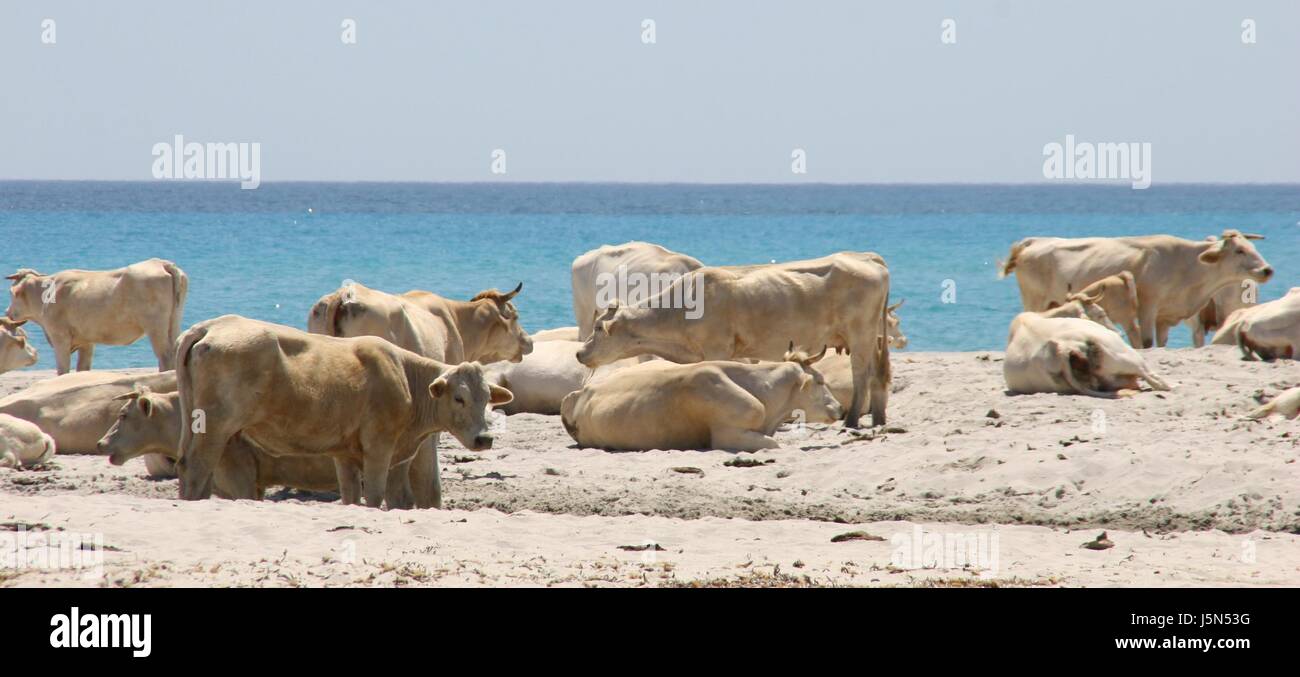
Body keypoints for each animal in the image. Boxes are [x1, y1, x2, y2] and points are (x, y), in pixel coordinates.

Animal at [5, 259, 188, 373]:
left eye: (11, 293)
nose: (7, 312)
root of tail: (161, 263)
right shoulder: (86, 341)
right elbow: (82, 369)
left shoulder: (59, 337)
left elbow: (63, 370)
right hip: (173, 322)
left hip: (155, 326)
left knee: (165, 356)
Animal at [174, 315, 512, 508]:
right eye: (459, 398)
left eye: (487, 398)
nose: (484, 438)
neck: (406, 376)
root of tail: (209, 327)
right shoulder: (379, 448)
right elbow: (374, 496)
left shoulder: (348, 453)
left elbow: (356, 497)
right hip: (215, 426)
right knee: (198, 467)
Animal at [575, 252, 893, 427]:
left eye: (599, 328)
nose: (579, 353)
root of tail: (866, 257)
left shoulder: (718, 348)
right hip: (874, 335)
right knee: (878, 374)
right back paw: (878, 419)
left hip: (861, 332)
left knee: (861, 372)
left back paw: (852, 420)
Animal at [998, 230, 1272, 348]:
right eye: (1240, 250)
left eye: (1253, 247)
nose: (1267, 269)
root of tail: (1033, 241)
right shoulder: (1148, 307)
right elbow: (1147, 342)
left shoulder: (1165, 316)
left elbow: (1160, 344)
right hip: (1034, 300)